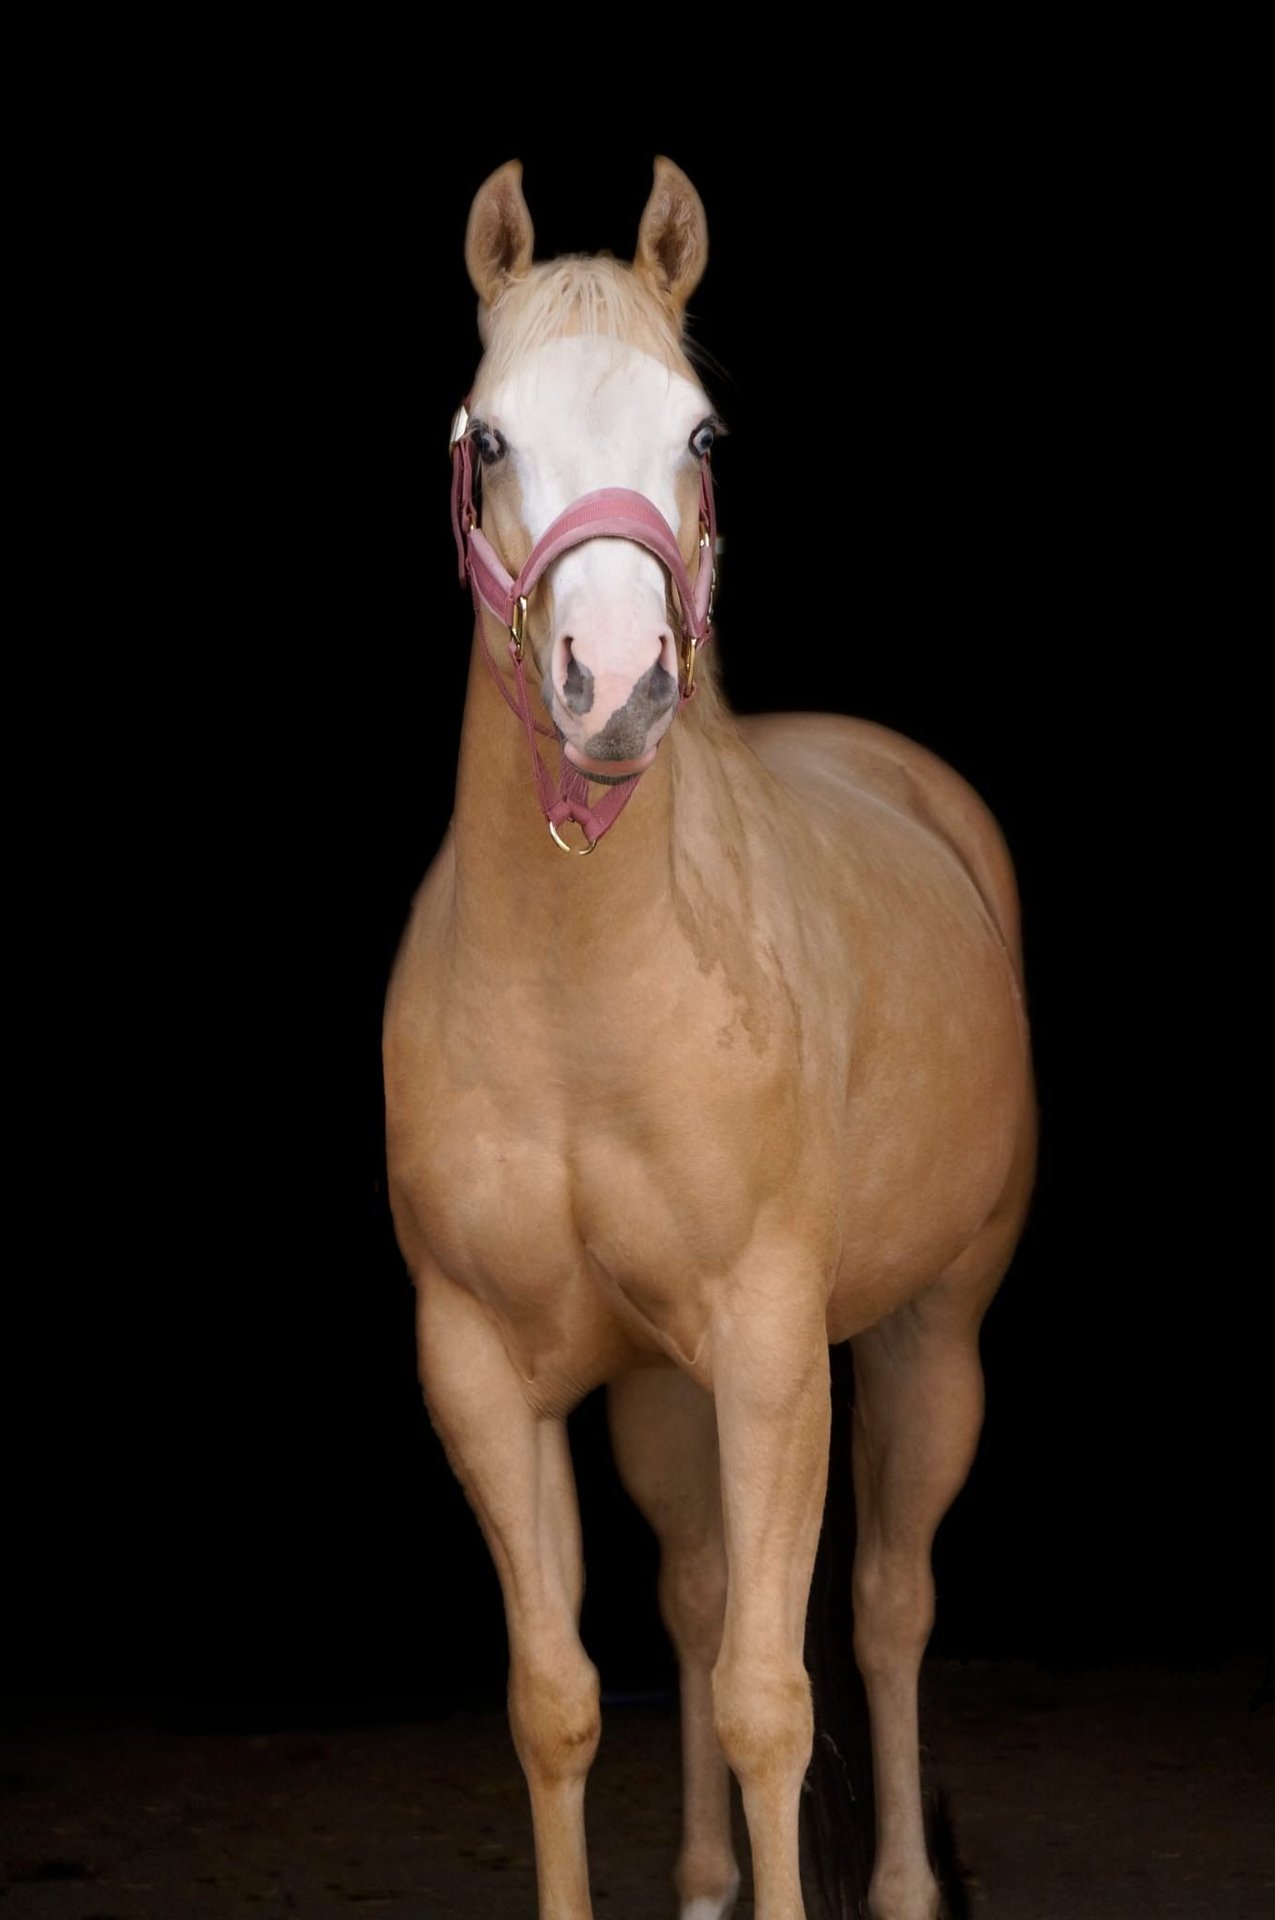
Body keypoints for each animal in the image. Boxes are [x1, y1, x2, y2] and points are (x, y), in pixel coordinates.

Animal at [383, 156, 1036, 1920]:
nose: (612, 686)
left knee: (883, 1606)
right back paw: (693, 1878)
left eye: (698, 435)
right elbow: (558, 1701)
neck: (576, 995)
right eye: (485, 437)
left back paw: (898, 1886)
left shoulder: (764, 1351)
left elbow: (768, 1697)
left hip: (925, 1336)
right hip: (656, 1387)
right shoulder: (482, 1368)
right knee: (686, 1593)